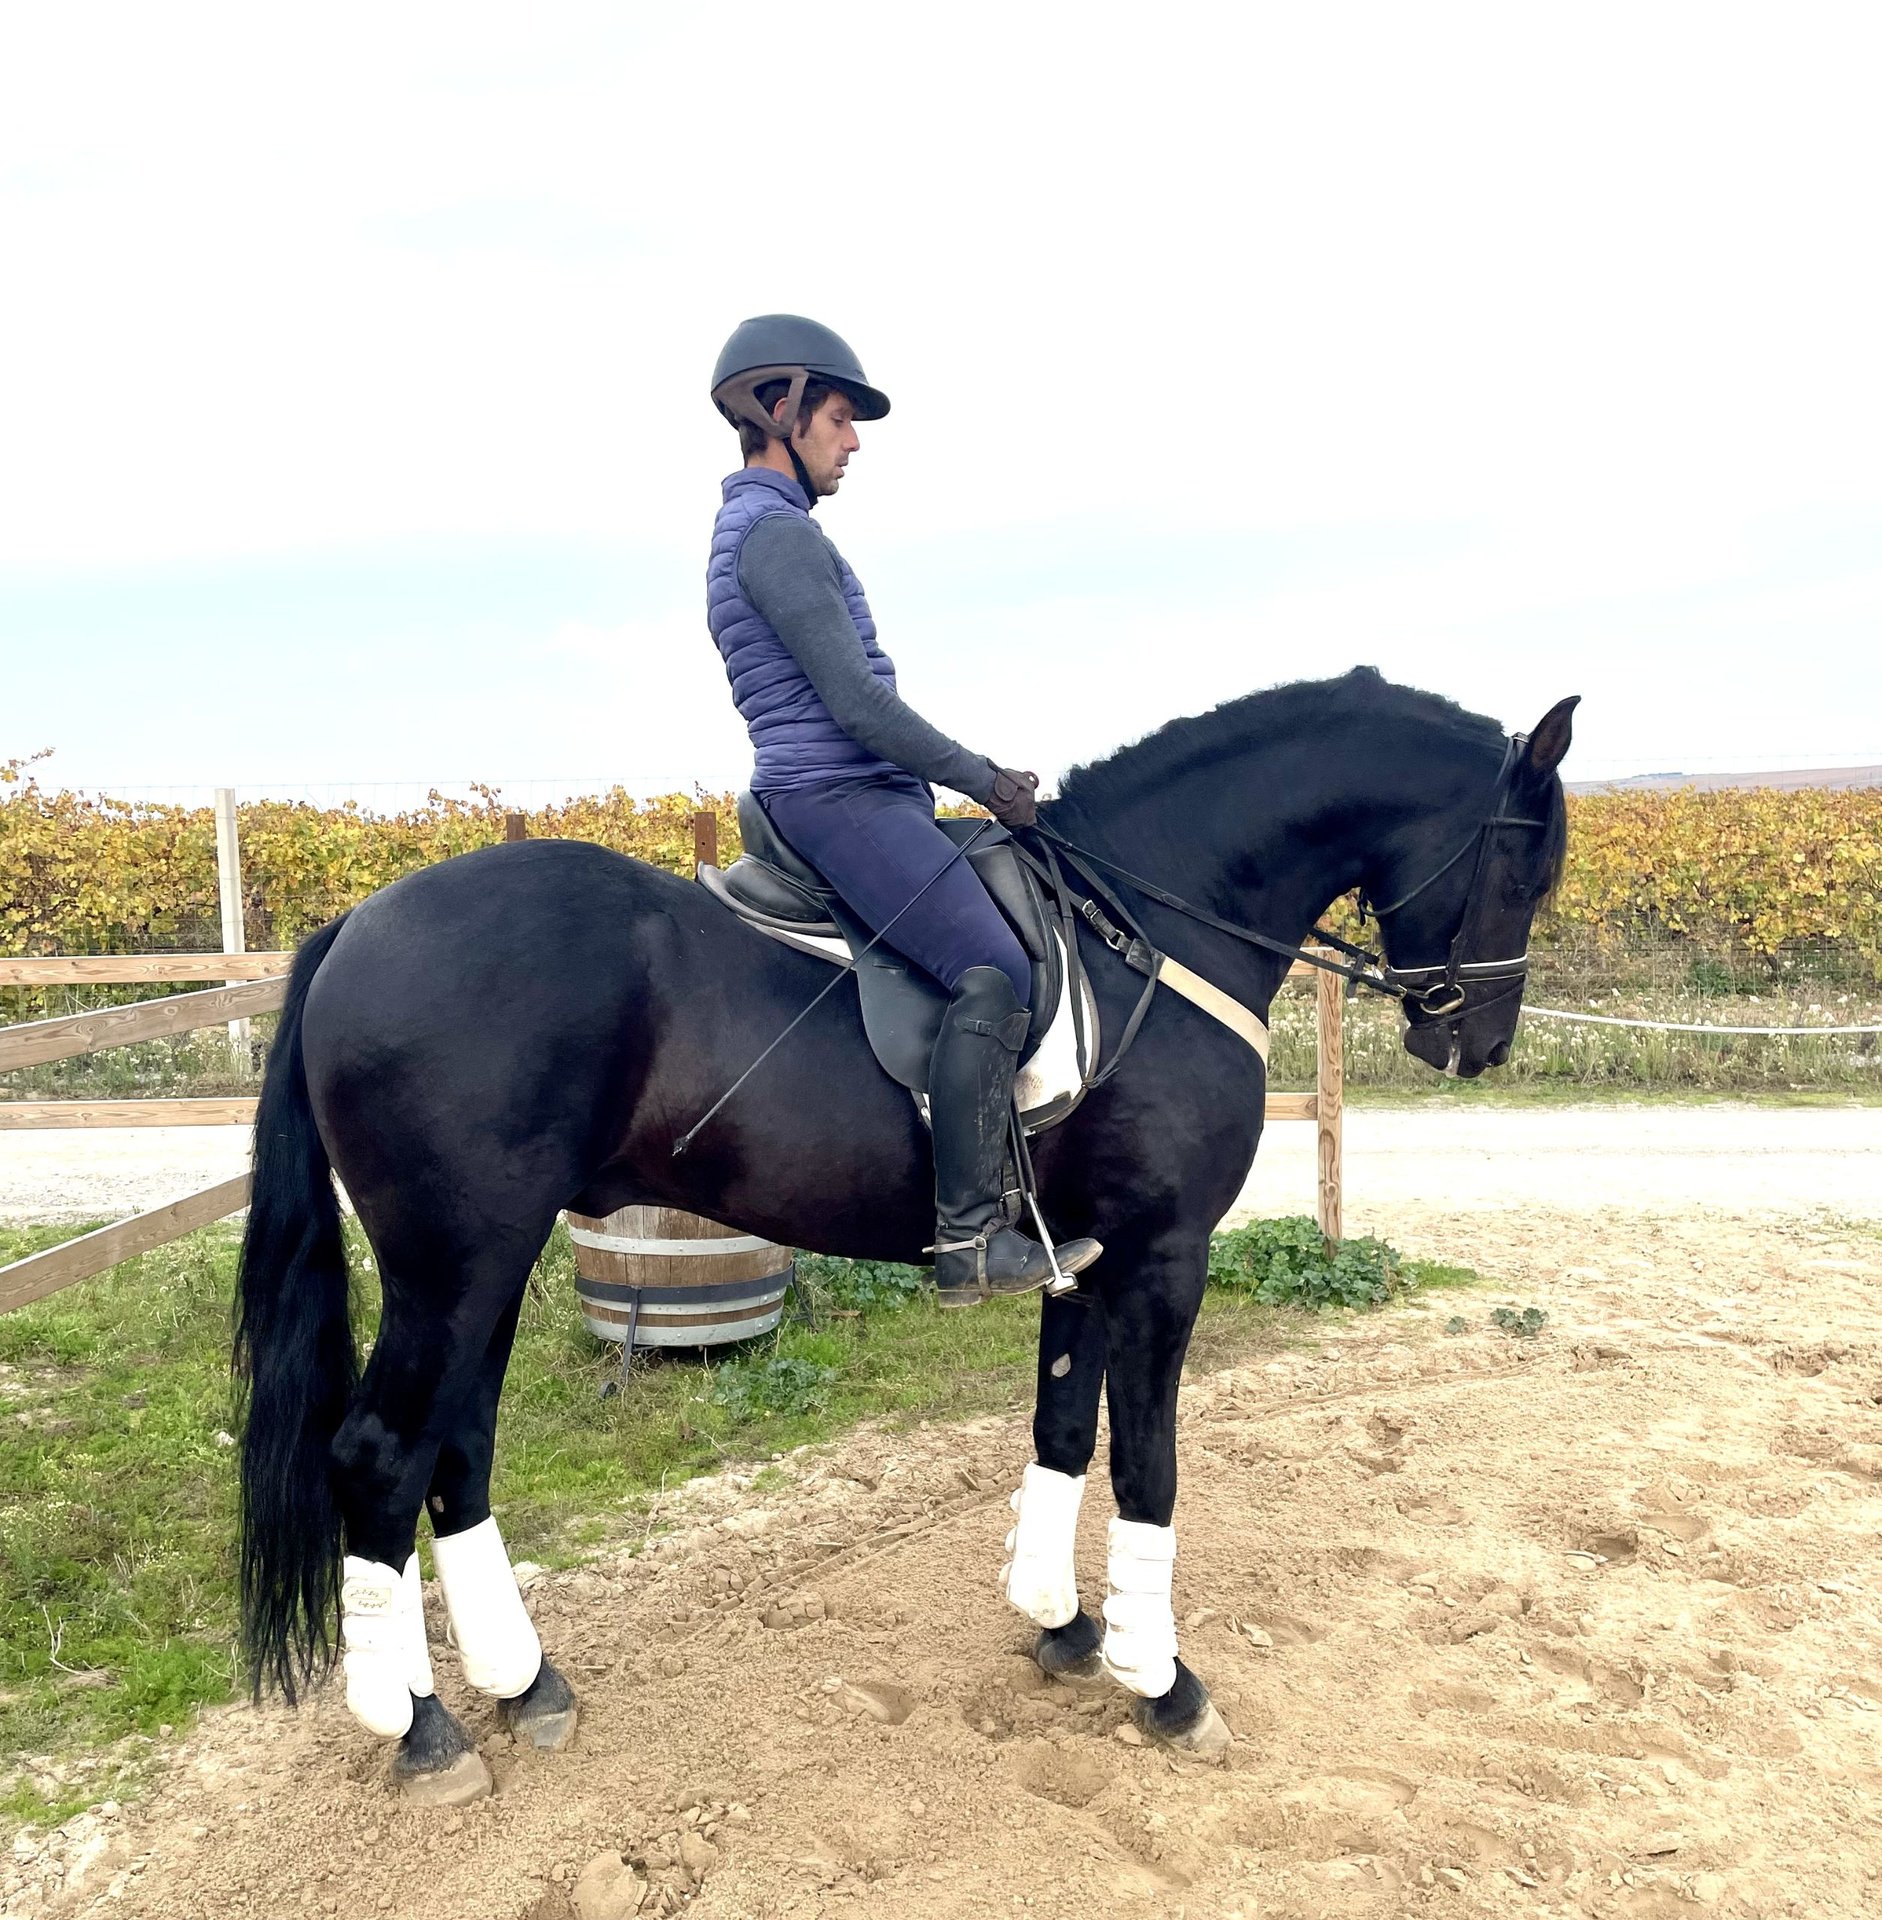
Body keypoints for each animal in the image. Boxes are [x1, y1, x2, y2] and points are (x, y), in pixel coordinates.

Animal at [235, 667, 1575, 1800]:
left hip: (487, 1265)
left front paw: (1061, 1625)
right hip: (455, 1264)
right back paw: (419, 1729)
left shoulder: (1083, 1258)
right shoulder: (1162, 1254)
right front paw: (1163, 1684)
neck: (1152, 915)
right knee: (380, 1456)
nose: (1479, 1043)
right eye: (1527, 871)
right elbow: (1146, 1465)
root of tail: (356, 926)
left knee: (455, 1449)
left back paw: (524, 1687)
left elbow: (1059, 1427)